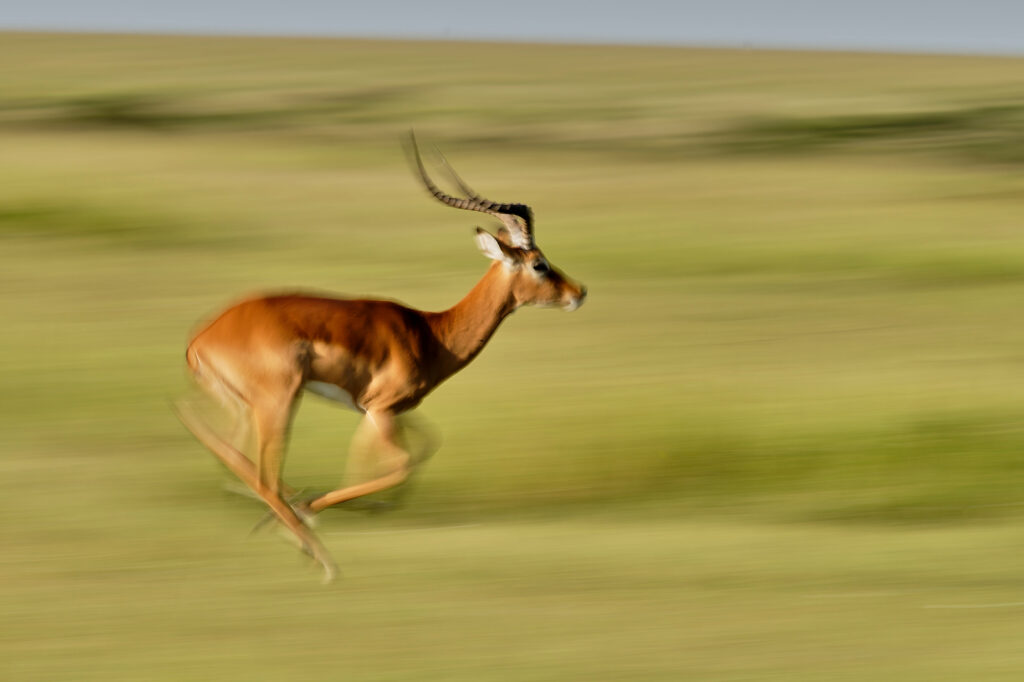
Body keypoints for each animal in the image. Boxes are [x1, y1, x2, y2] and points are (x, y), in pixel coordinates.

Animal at [176, 135, 587, 581]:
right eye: (539, 264)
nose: (579, 292)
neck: (431, 333)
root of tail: (203, 337)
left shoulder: (378, 409)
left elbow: (413, 448)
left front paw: (348, 507)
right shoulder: (382, 409)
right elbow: (401, 464)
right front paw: (317, 510)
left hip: (243, 402)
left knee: (216, 436)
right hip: (280, 400)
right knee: (262, 473)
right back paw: (320, 555)